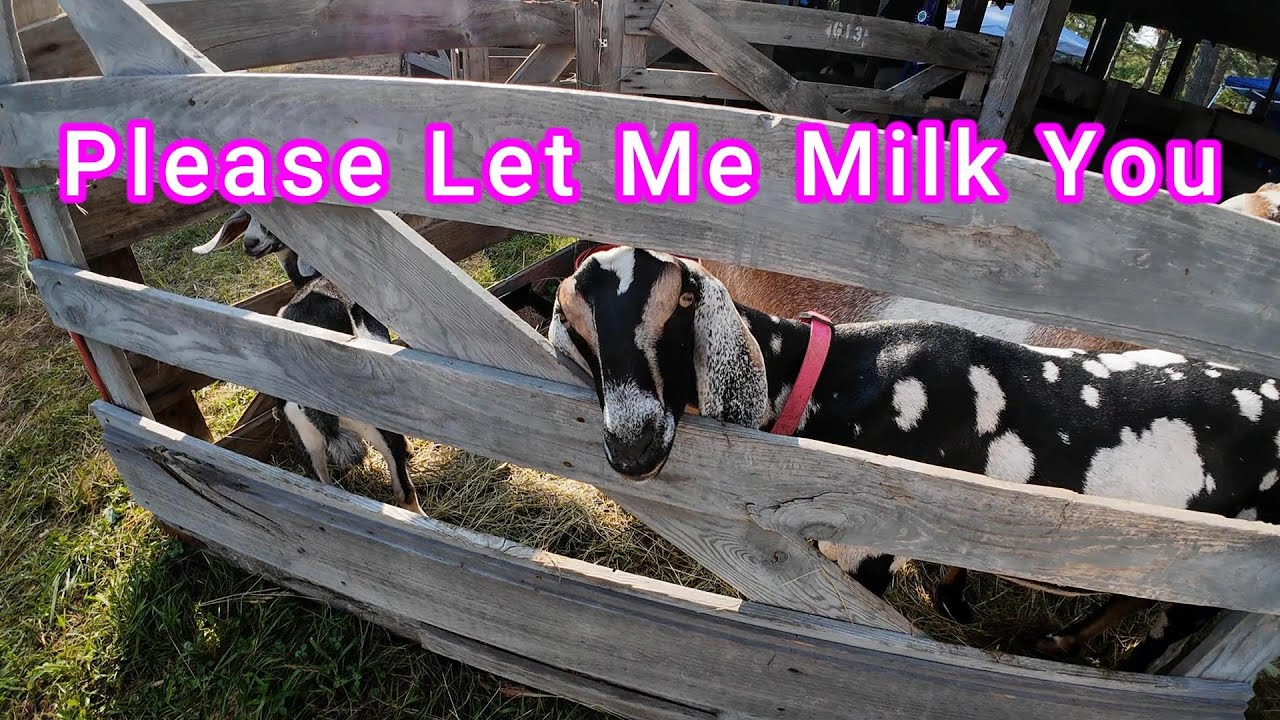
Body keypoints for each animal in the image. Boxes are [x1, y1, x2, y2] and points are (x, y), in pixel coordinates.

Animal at [550, 245, 1280, 669]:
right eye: (577, 328)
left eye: (679, 304)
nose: (633, 443)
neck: (829, 375)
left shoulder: (868, 544)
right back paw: (1058, 643)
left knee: (1168, 629)